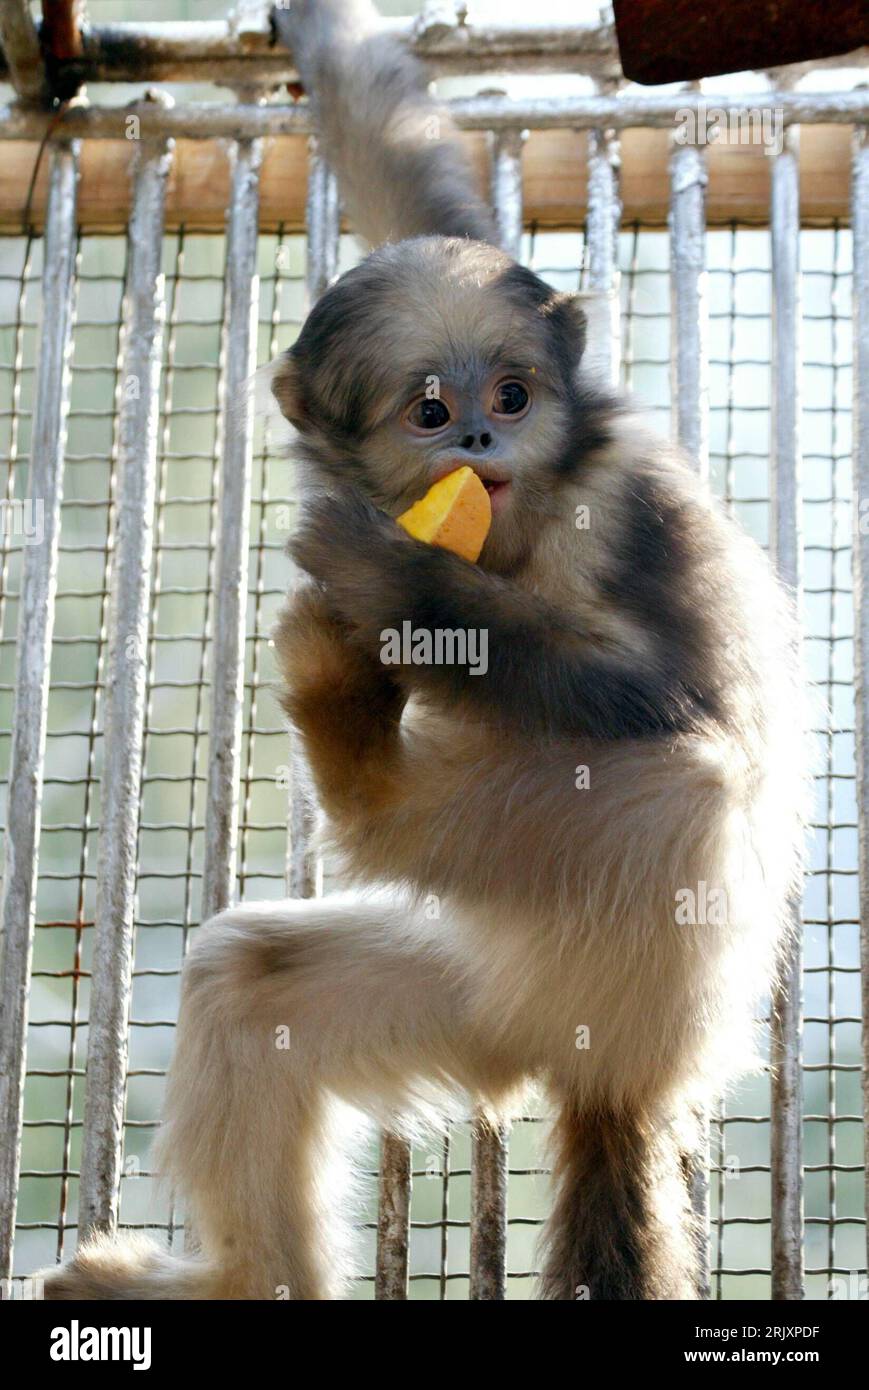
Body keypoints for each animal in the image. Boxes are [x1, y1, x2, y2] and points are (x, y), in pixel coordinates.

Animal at [40, 0, 805, 1301]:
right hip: (476, 1006)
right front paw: (313, 32)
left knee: (692, 771)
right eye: (432, 412)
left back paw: (363, 778)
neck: (518, 531)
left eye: (513, 393)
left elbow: (679, 693)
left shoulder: (625, 500)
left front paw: (394, 577)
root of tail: (618, 1074)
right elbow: (417, 182)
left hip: (615, 926)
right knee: (248, 980)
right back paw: (243, 1278)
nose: (486, 442)